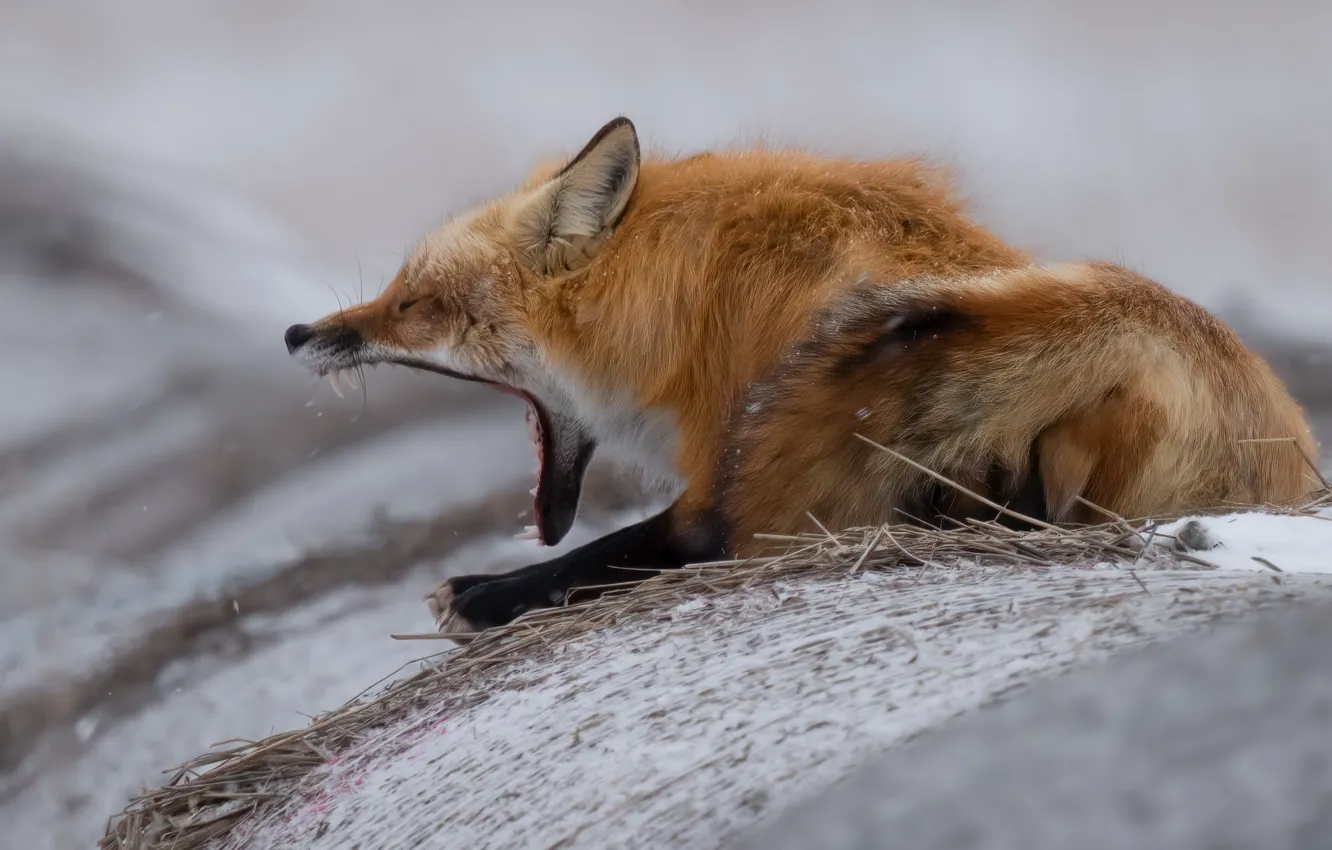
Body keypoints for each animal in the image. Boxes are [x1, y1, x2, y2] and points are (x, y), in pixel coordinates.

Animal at [283, 116, 1320, 634]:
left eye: (414, 302)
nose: (298, 333)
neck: (696, 301)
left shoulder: (729, 464)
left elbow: (626, 547)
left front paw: (485, 595)